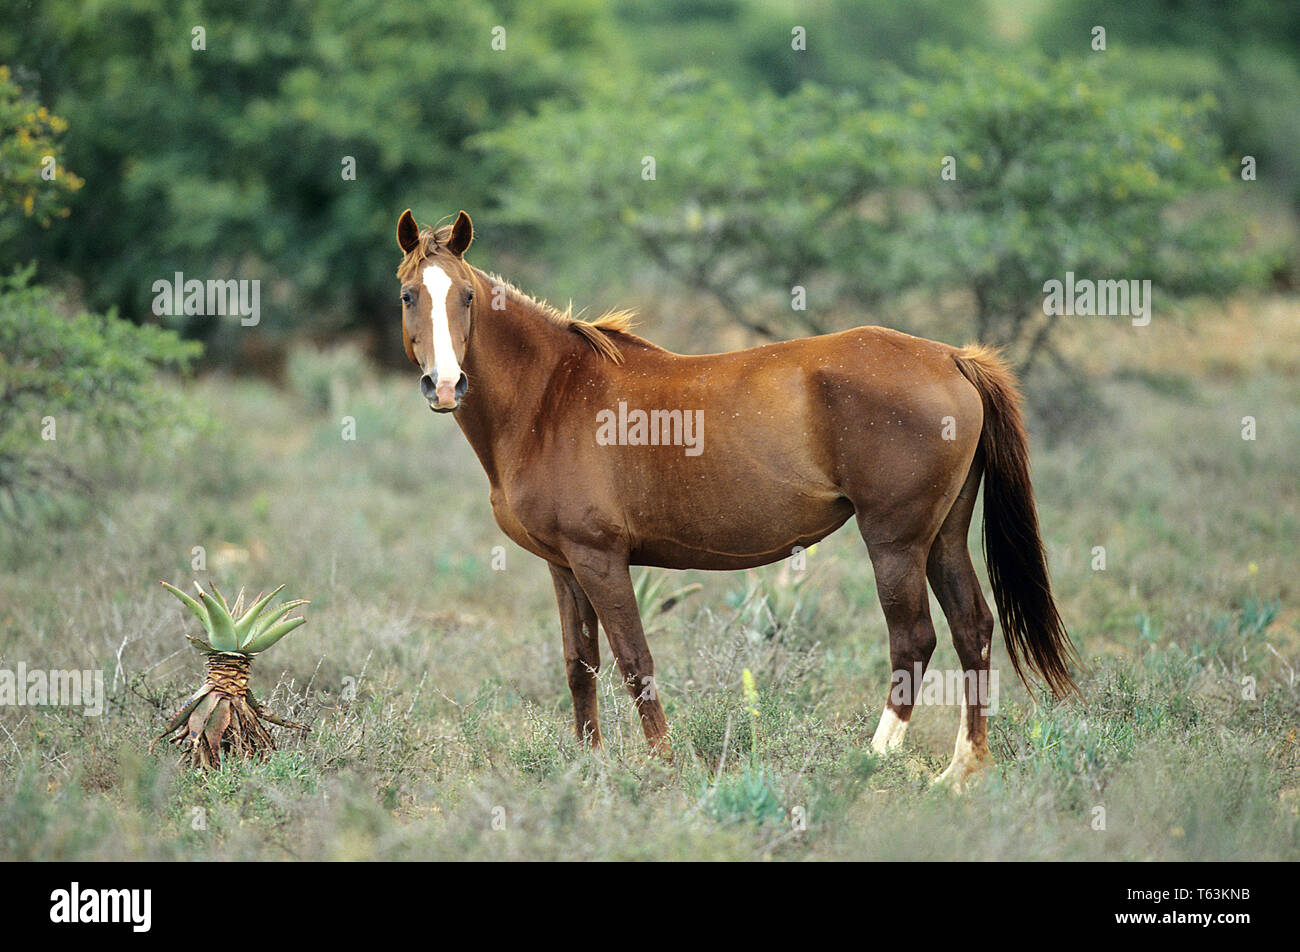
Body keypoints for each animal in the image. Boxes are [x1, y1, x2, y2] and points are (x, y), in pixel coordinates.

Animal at [395, 208, 1079, 786]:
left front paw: (665, 765)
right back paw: (962, 771)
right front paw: (590, 769)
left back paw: (873, 757)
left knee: (913, 639)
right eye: (408, 294)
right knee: (972, 627)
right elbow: (579, 664)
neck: (550, 396)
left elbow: (634, 659)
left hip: (896, 540)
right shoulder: (563, 564)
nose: (445, 385)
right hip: (942, 536)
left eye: (465, 296)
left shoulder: (599, 559)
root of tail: (954, 357)